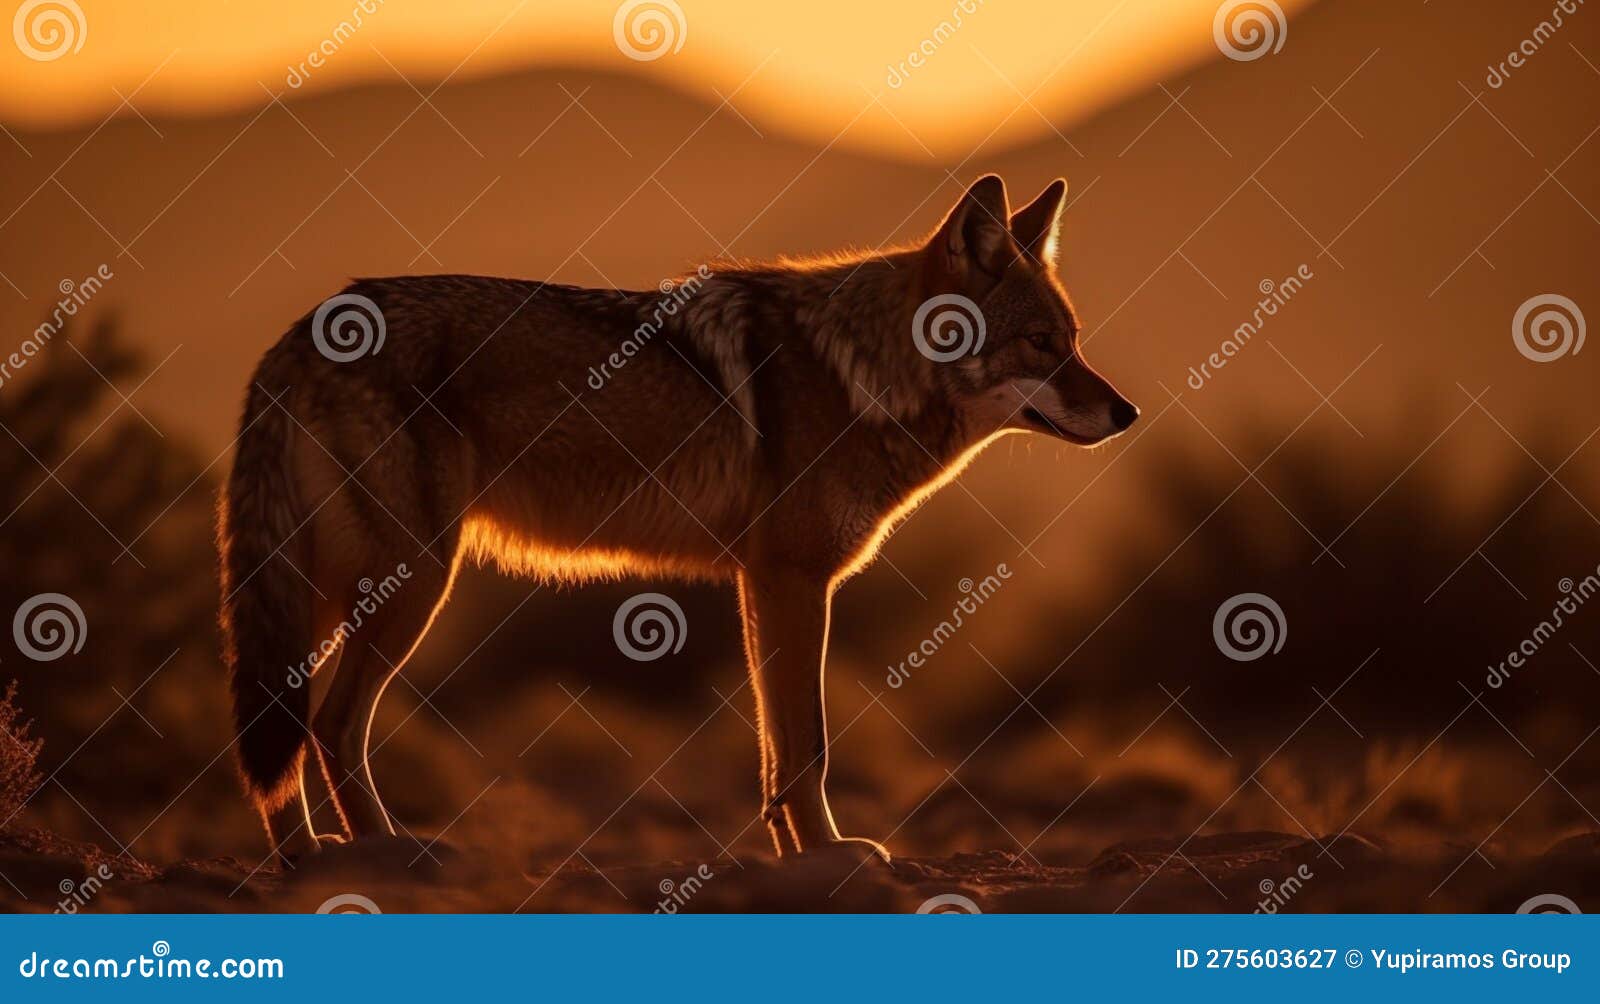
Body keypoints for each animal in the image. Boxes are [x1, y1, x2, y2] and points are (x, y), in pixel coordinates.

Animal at [218, 174, 1138, 865]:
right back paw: (384, 855)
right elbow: (809, 746)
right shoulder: (793, 581)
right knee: (329, 727)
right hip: (407, 583)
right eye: (1040, 344)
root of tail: (302, 331)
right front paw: (831, 855)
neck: (862, 373)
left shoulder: (760, 587)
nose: (1127, 412)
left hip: (323, 595)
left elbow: (775, 751)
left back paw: (302, 862)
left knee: (282, 732)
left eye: (1074, 339)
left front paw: (796, 857)